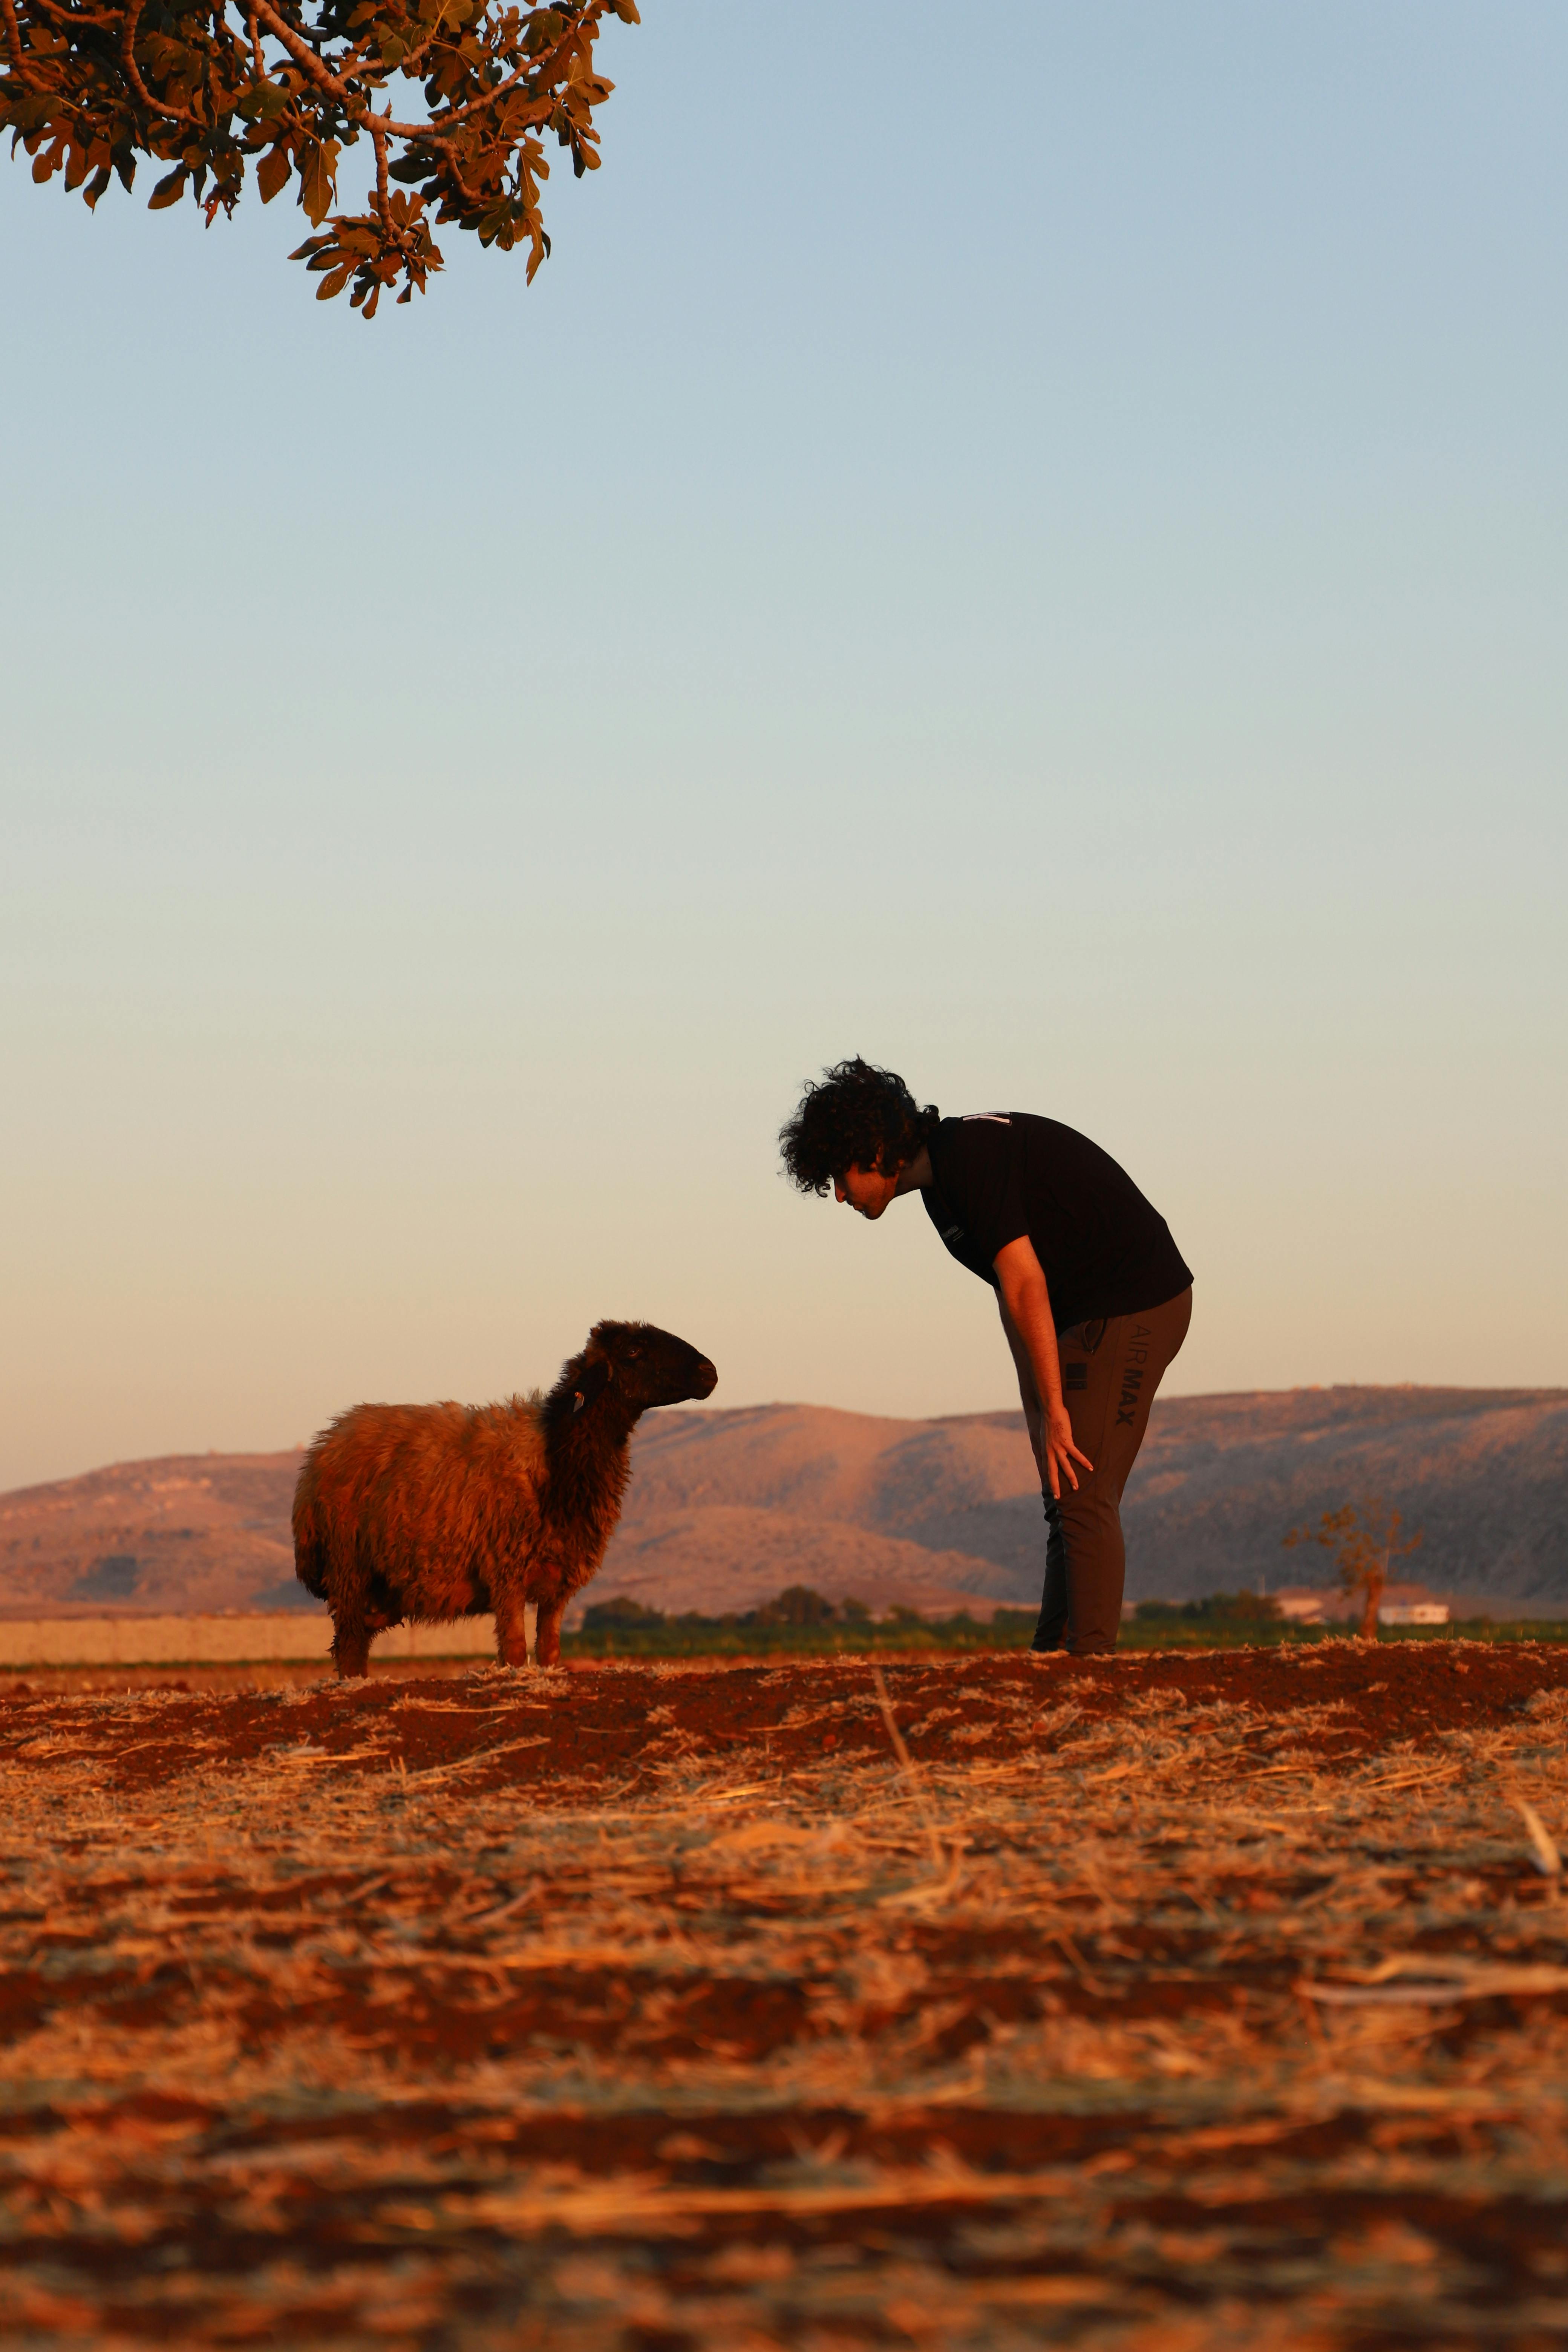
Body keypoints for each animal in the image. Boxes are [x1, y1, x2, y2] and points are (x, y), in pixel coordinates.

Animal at [292, 1320, 717, 1677]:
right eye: (633, 1350)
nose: (709, 1372)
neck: (555, 1456)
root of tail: (324, 1447)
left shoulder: (559, 1582)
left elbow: (550, 1653)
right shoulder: (507, 1574)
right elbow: (513, 1653)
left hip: (382, 1585)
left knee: (359, 1637)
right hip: (349, 1566)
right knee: (350, 1647)